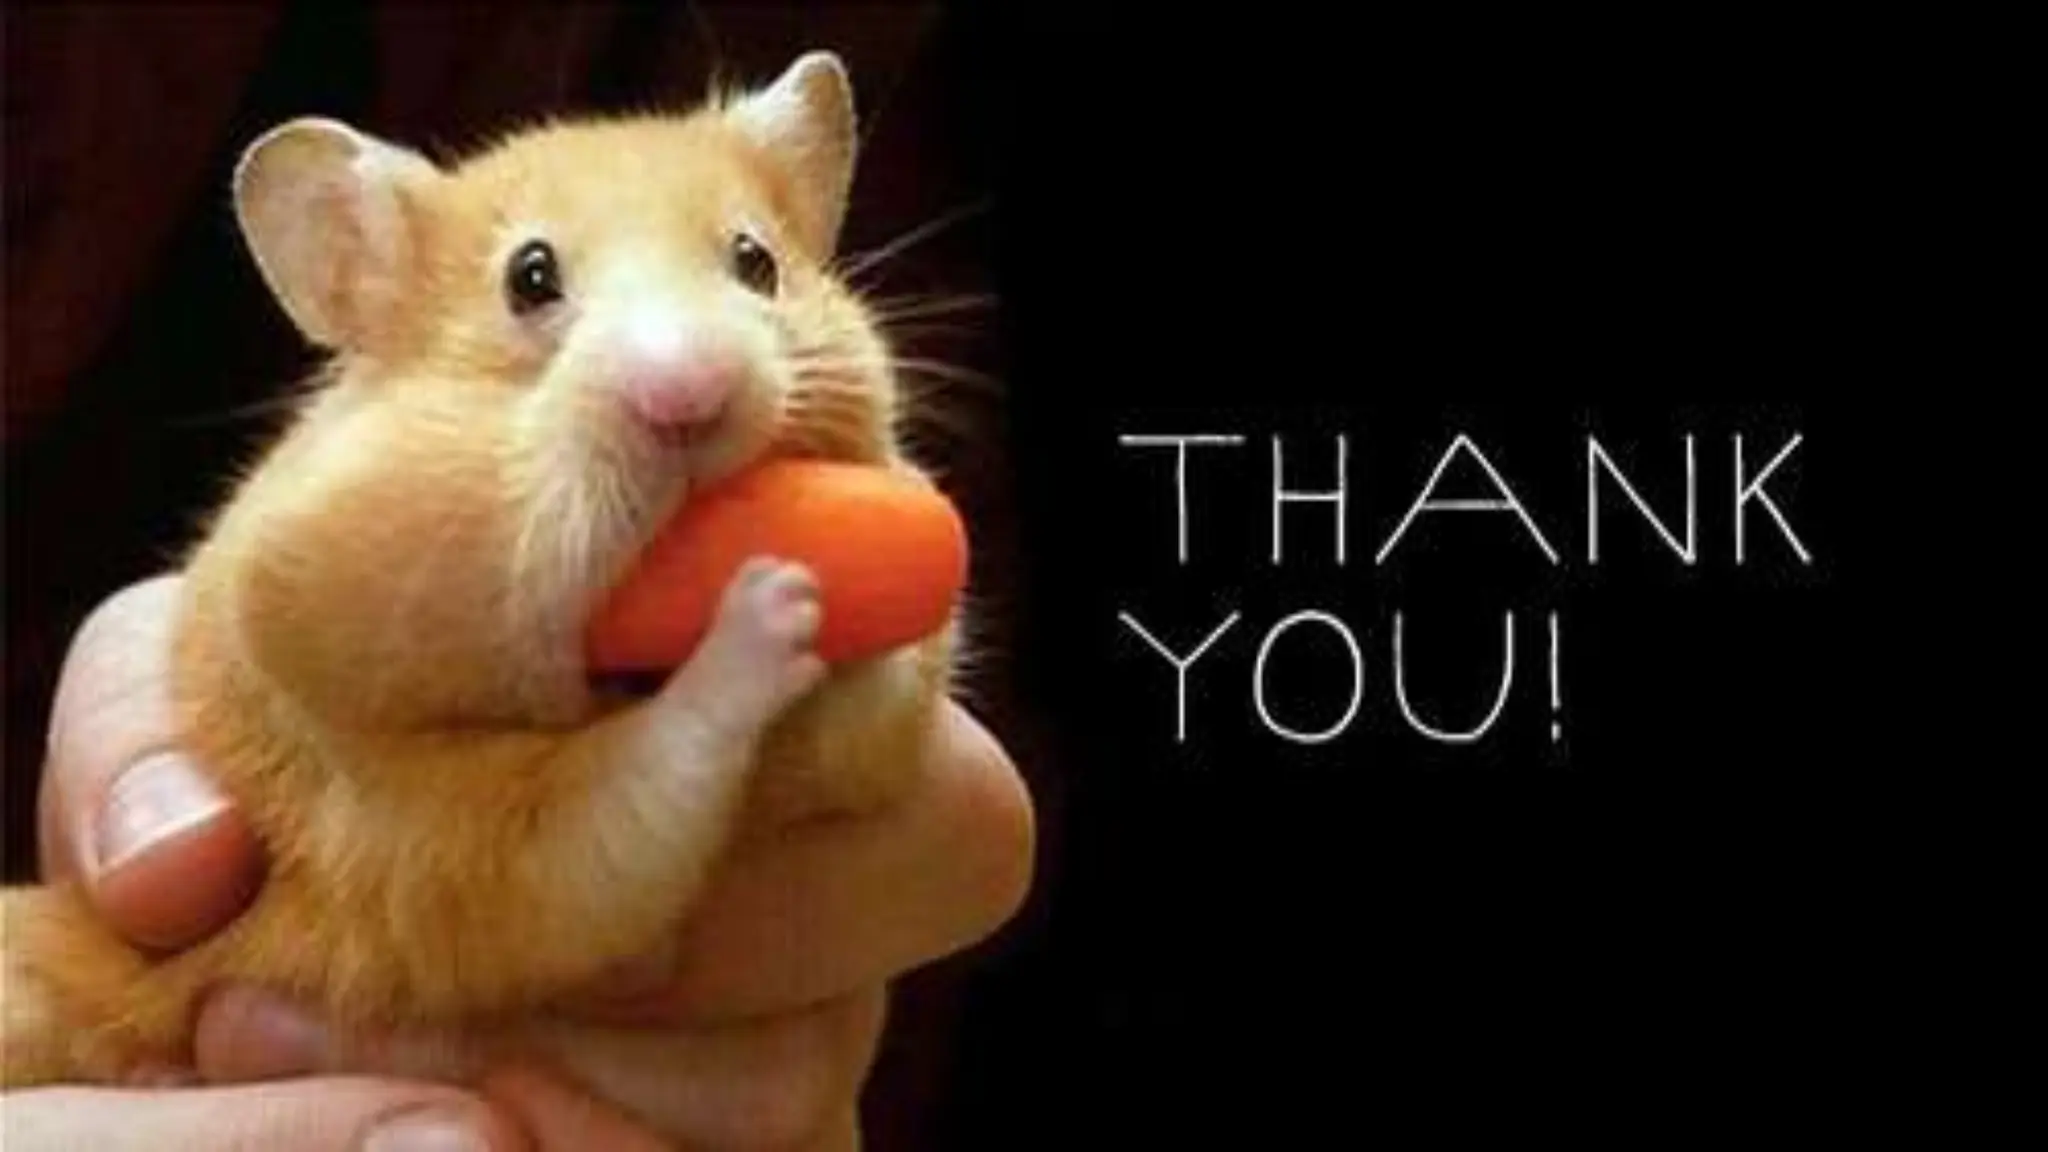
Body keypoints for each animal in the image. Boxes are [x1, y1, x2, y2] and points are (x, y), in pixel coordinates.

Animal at [0, 49, 956, 1125]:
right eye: (529, 277)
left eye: (756, 262)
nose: (690, 398)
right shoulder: (448, 855)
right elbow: (652, 772)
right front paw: (771, 604)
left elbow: (872, 705)